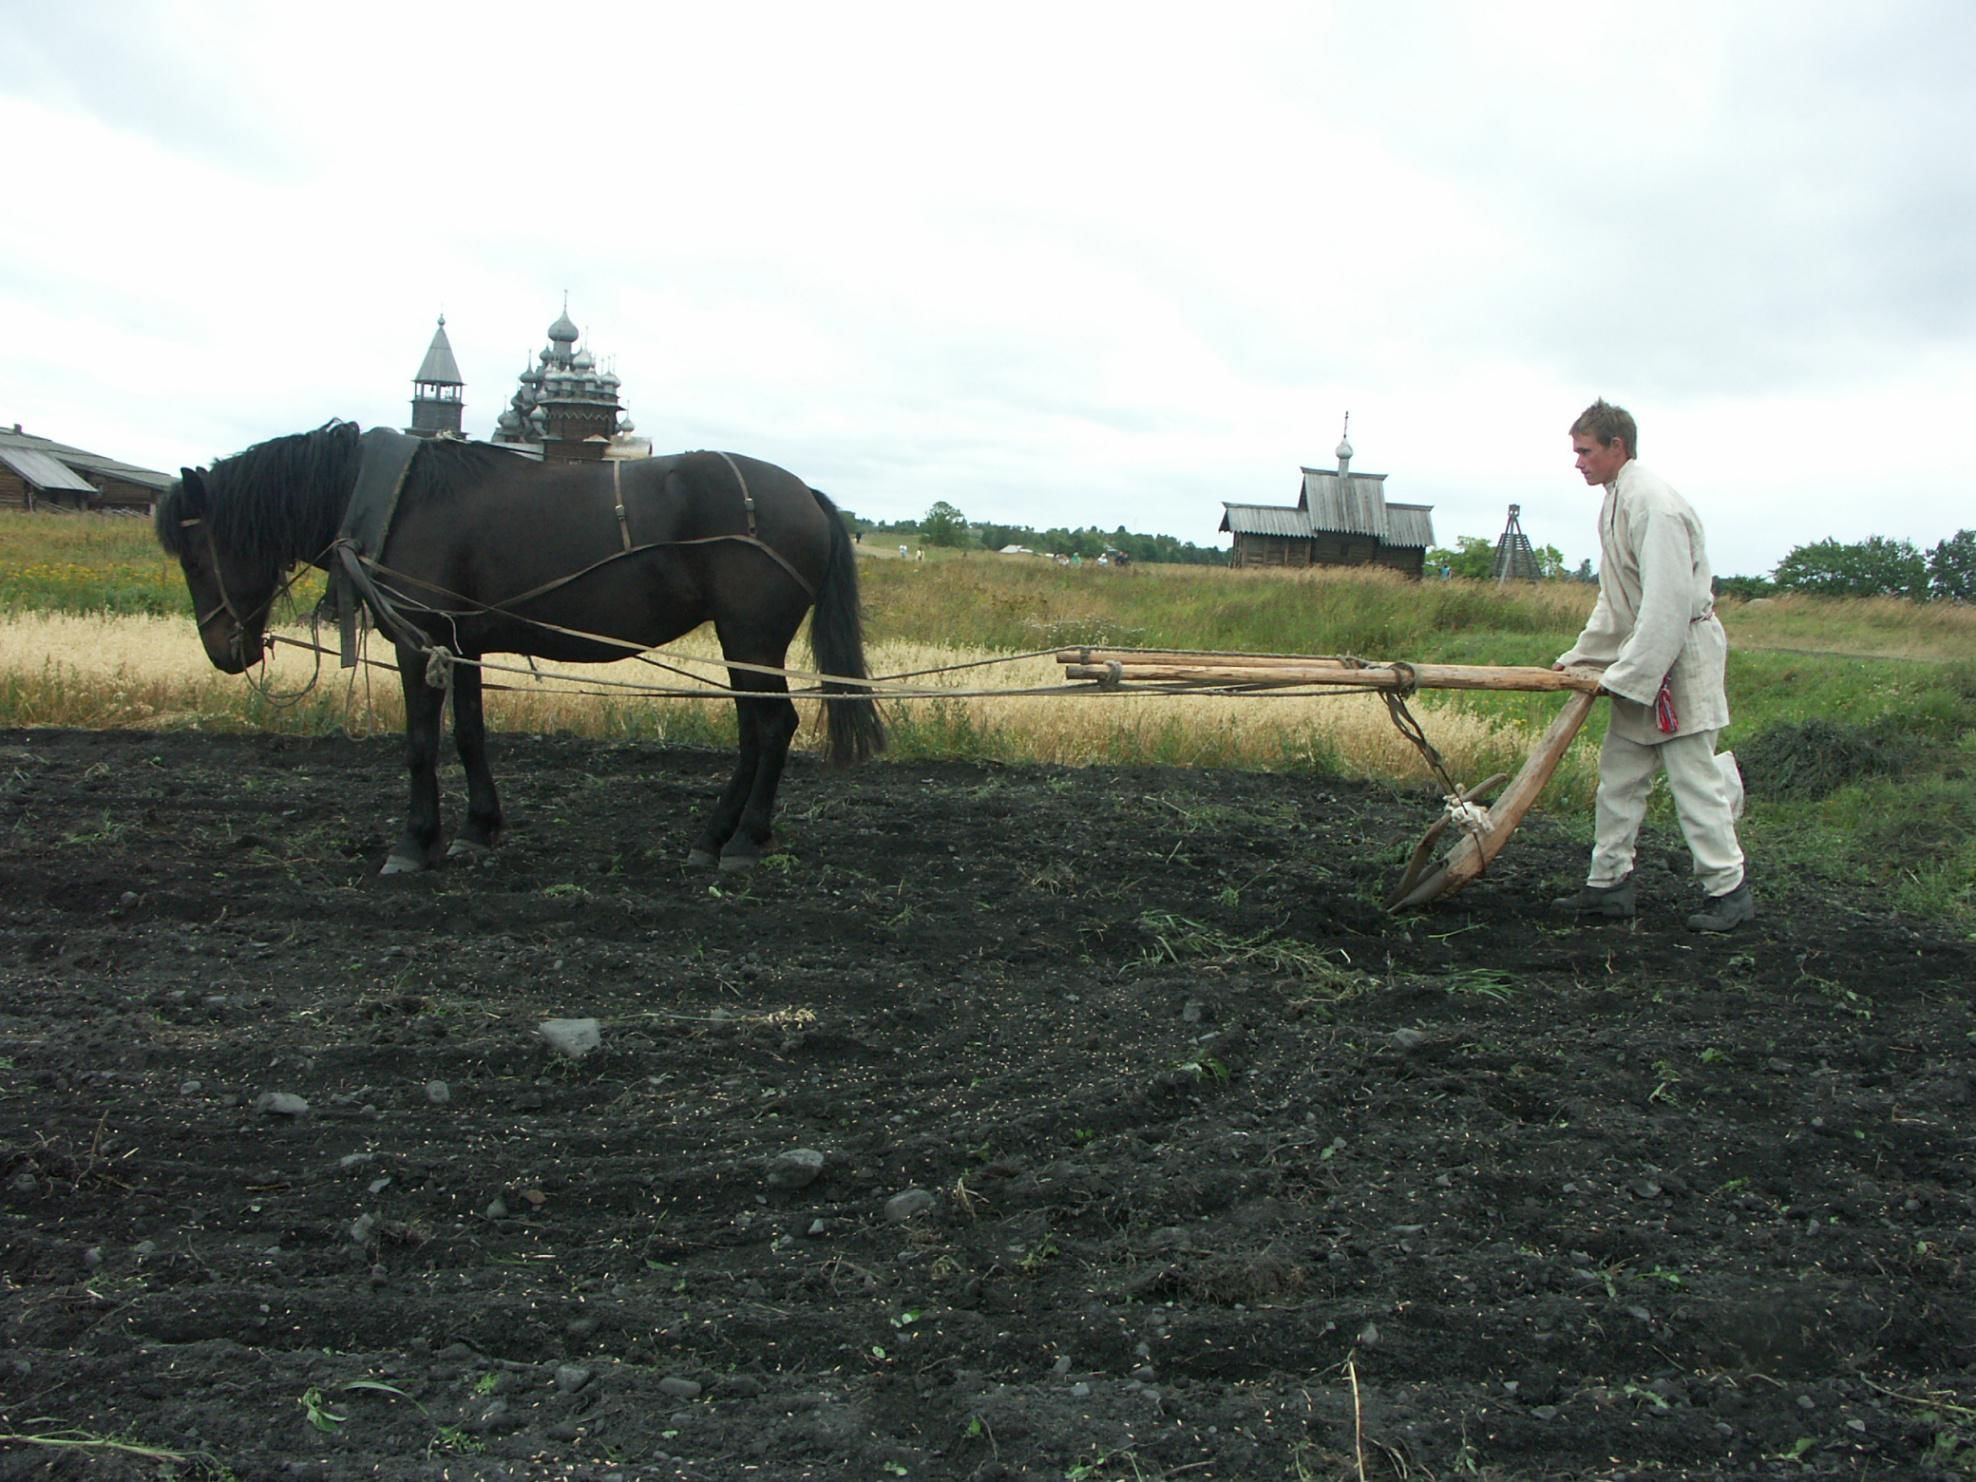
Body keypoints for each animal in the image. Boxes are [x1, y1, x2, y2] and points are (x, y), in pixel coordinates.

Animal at [158, 420, 885, 869]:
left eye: (194, 554)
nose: (224, 651)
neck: (398, 500)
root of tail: (808, 495)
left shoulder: (419, 643)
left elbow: (420, 745)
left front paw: (413, 842)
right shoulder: (461, 643)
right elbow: (469, 735)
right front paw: (477, 830)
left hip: (751, 637)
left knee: (774, 727)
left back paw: (742, 840)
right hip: (742, 644)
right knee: (755, 733)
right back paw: (715, 836)